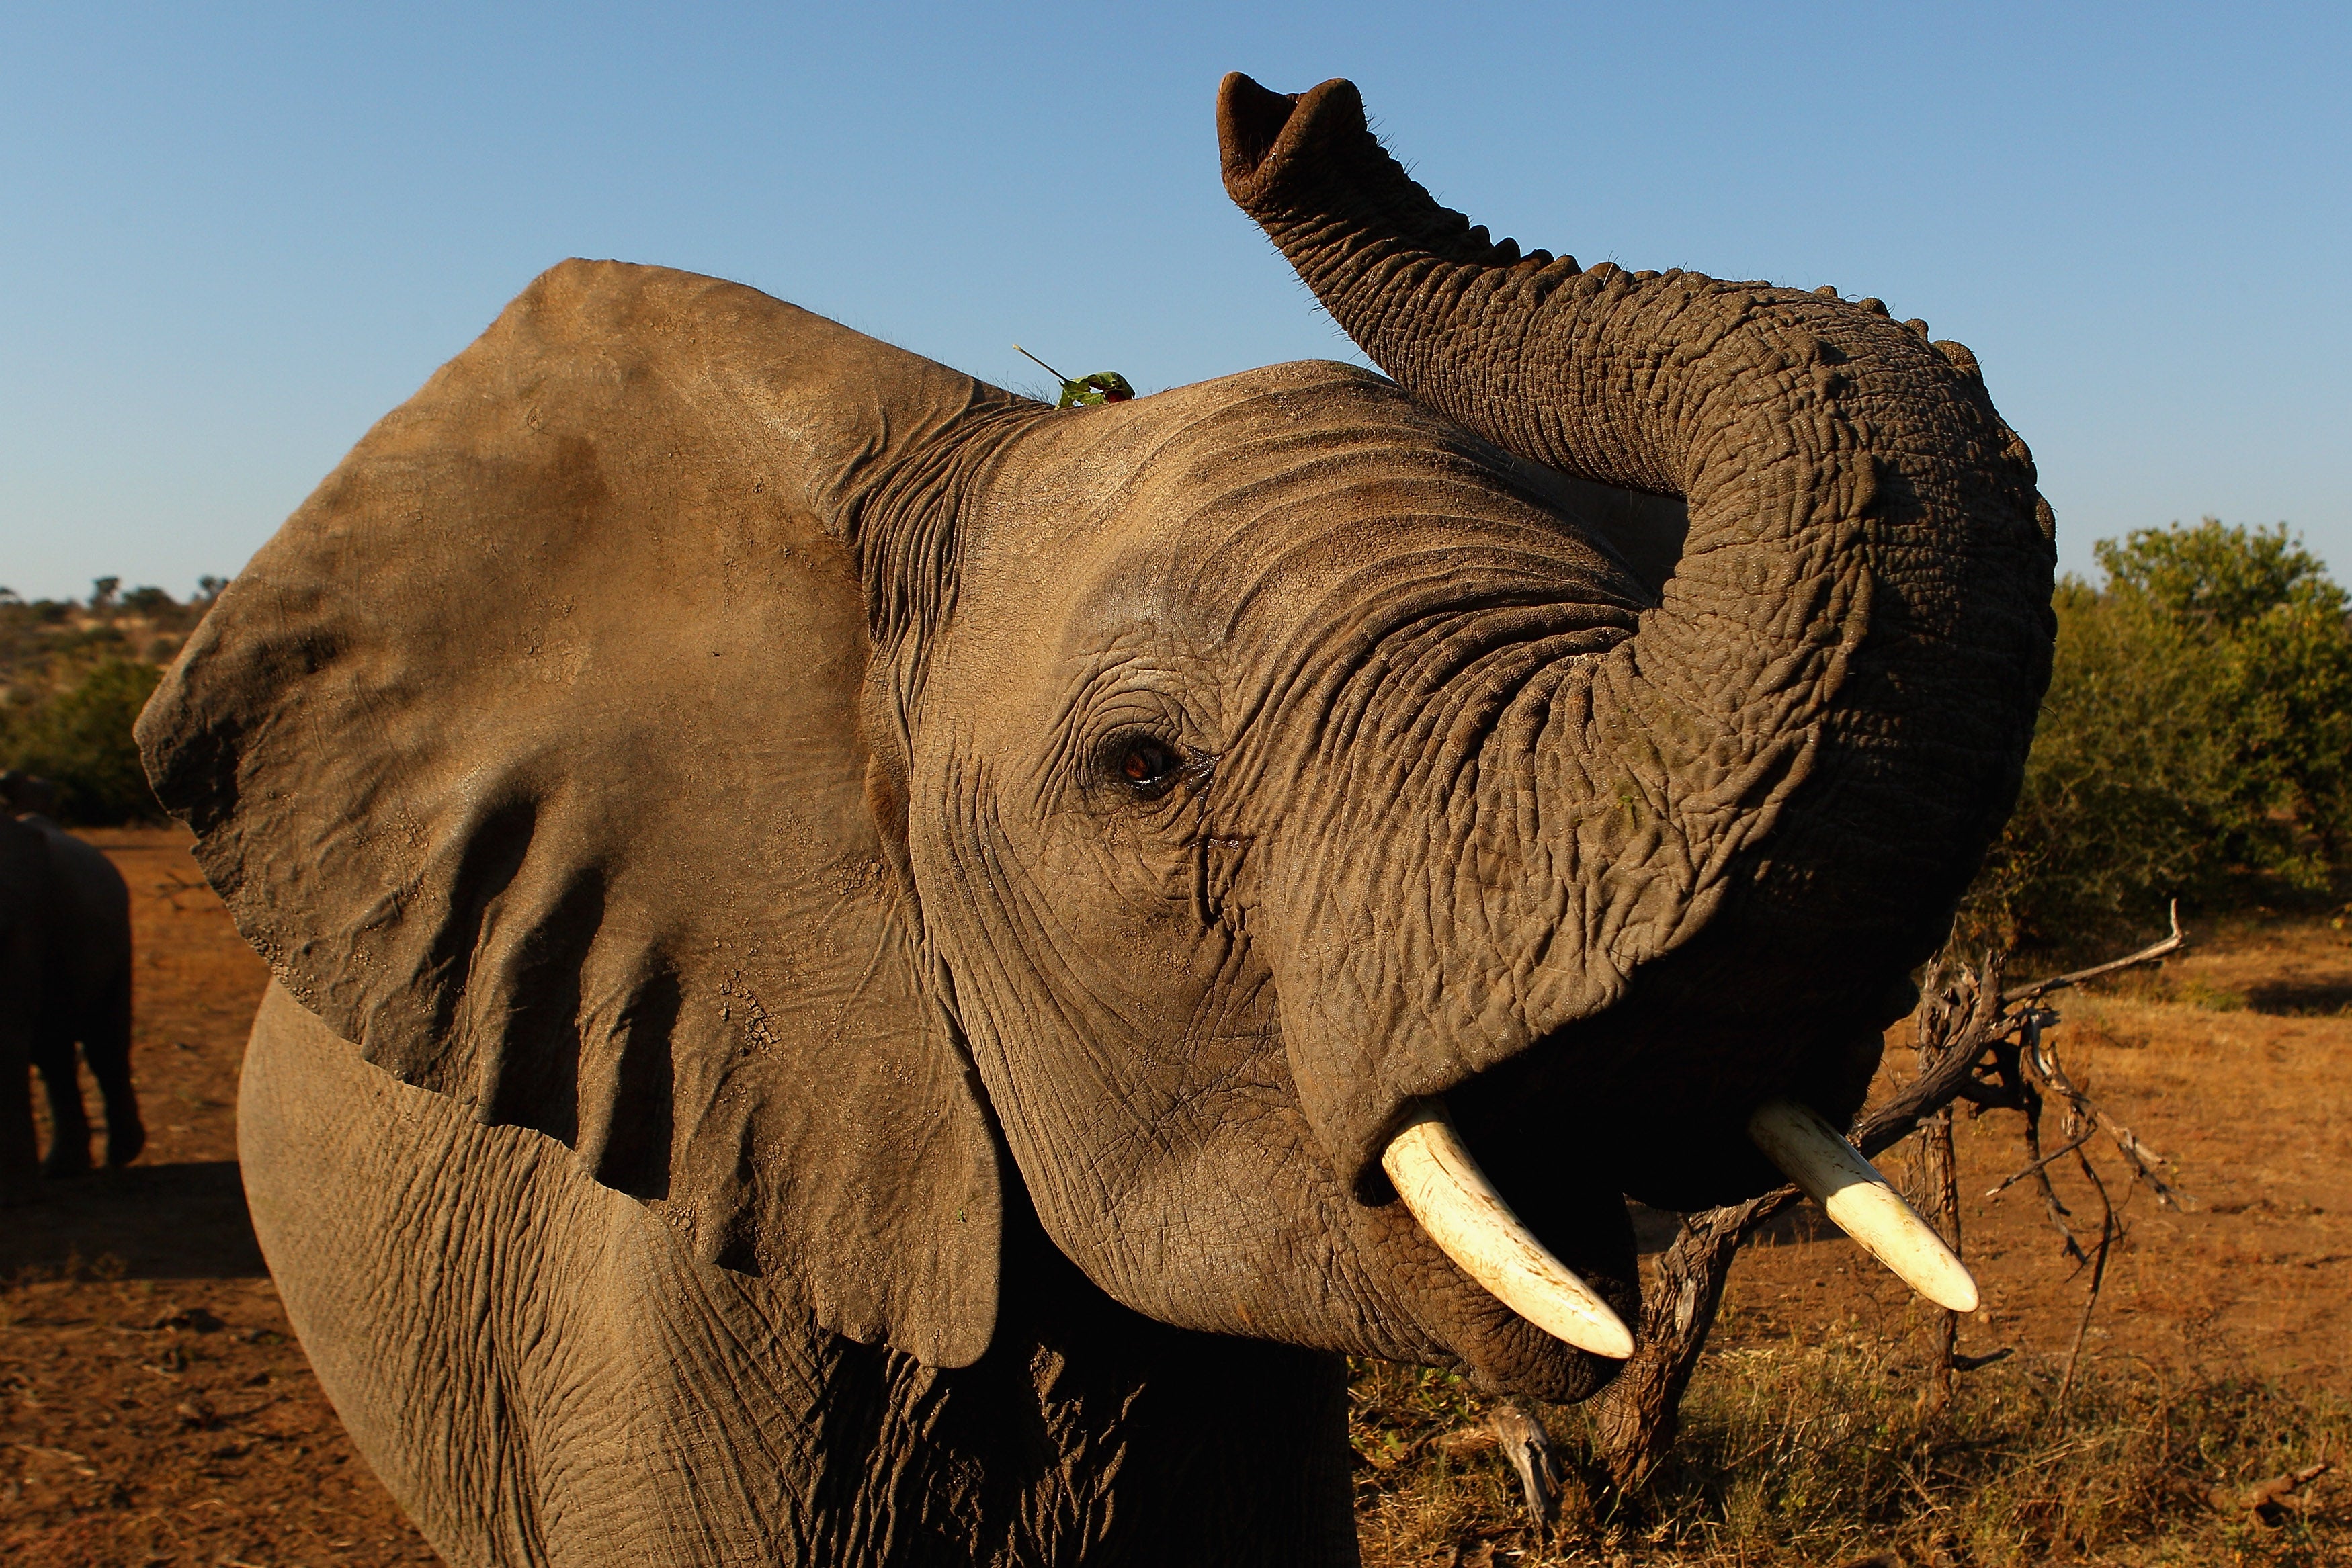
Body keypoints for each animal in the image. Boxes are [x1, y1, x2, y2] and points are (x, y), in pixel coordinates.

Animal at [0, 770, 143, 1174]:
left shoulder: (21, 919)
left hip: (121, 942)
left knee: (104, 1045)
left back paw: (116, 1159)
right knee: (54, 1053)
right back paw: (62, 1169)